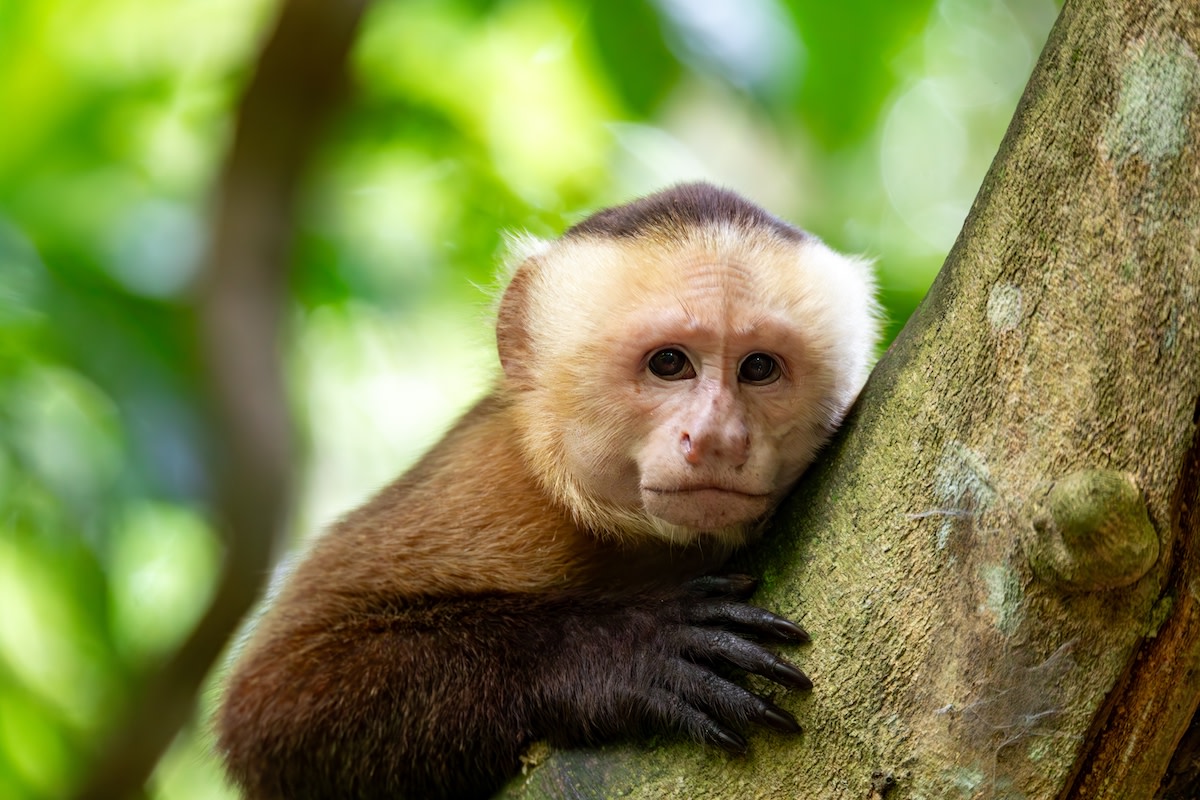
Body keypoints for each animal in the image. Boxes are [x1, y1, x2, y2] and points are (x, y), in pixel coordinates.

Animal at [215, 182, 879, 799]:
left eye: (758, 368)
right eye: (669, 363)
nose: (717, 439)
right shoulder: (494, 484)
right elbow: (271, 703)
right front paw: (627, 651)